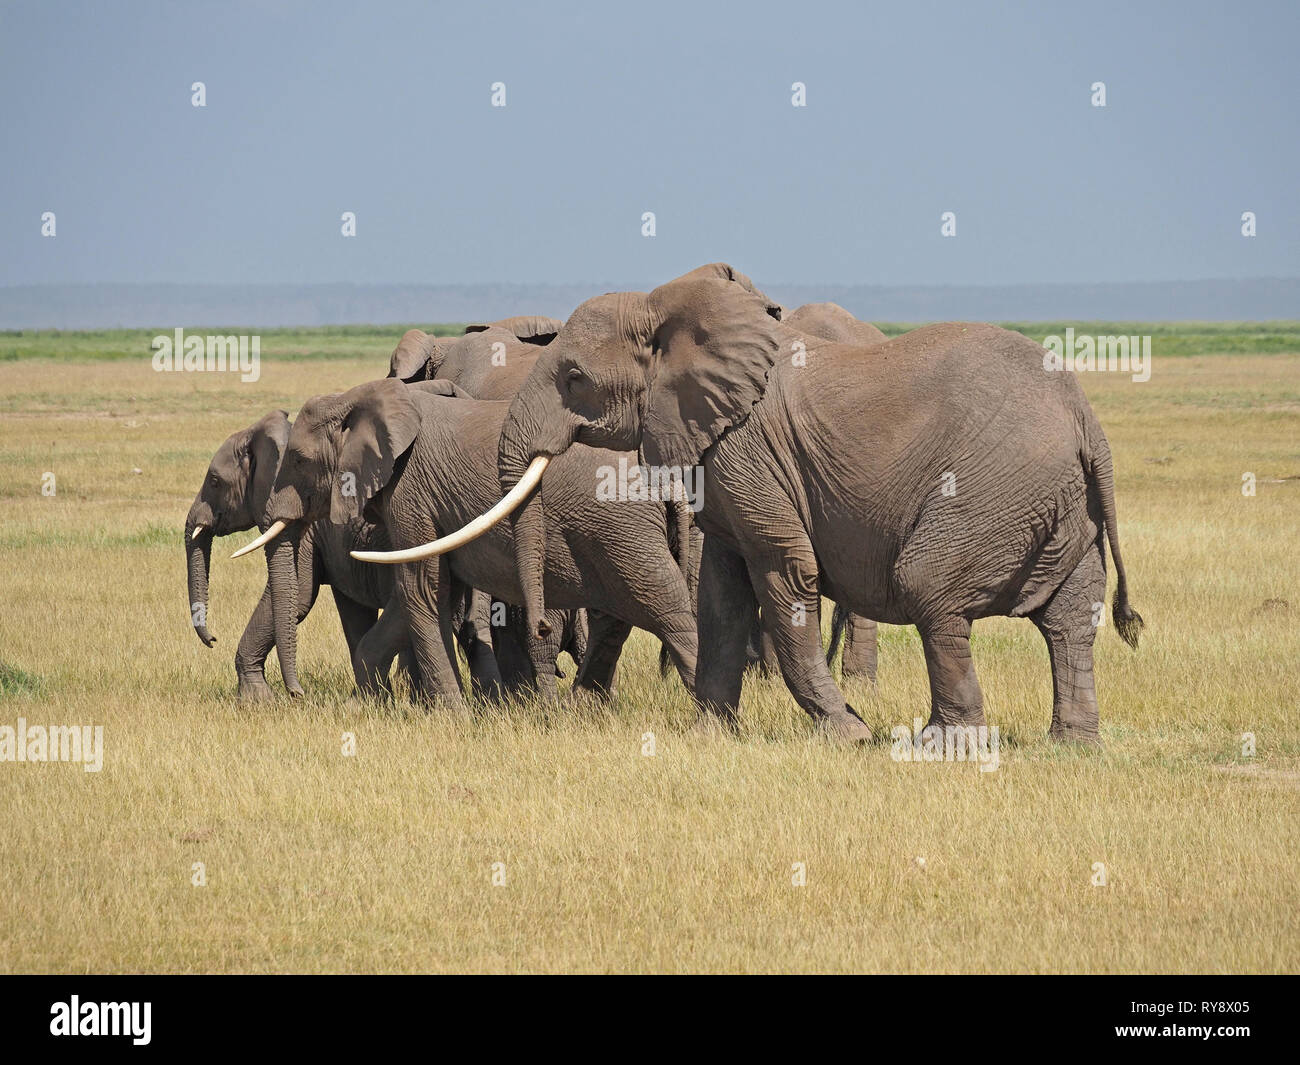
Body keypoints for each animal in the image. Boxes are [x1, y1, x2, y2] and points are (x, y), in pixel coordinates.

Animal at [242, 378, 697, 709]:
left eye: (298, 459)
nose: (297, 695)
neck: (357, 397)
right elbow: (438, 593)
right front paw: (371, 705)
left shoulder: (411, 492)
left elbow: (420, 589)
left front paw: (450, 715)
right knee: (617, 617)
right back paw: (584, 710)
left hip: (623, 528)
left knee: (666, 608)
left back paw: (708, 718)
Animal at [421, 263, 1142, 744]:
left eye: (574, 378)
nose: (545, 627)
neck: (672, 309)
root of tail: (1085, 418)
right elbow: (721, 590)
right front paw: (709, 738)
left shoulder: (749, 451)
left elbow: (786, 573)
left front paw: (849, 734)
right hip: (1053, 502)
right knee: (1070, 614)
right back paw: (1071, 744)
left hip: (995, 489)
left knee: (931, 590)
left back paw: (941, 746)